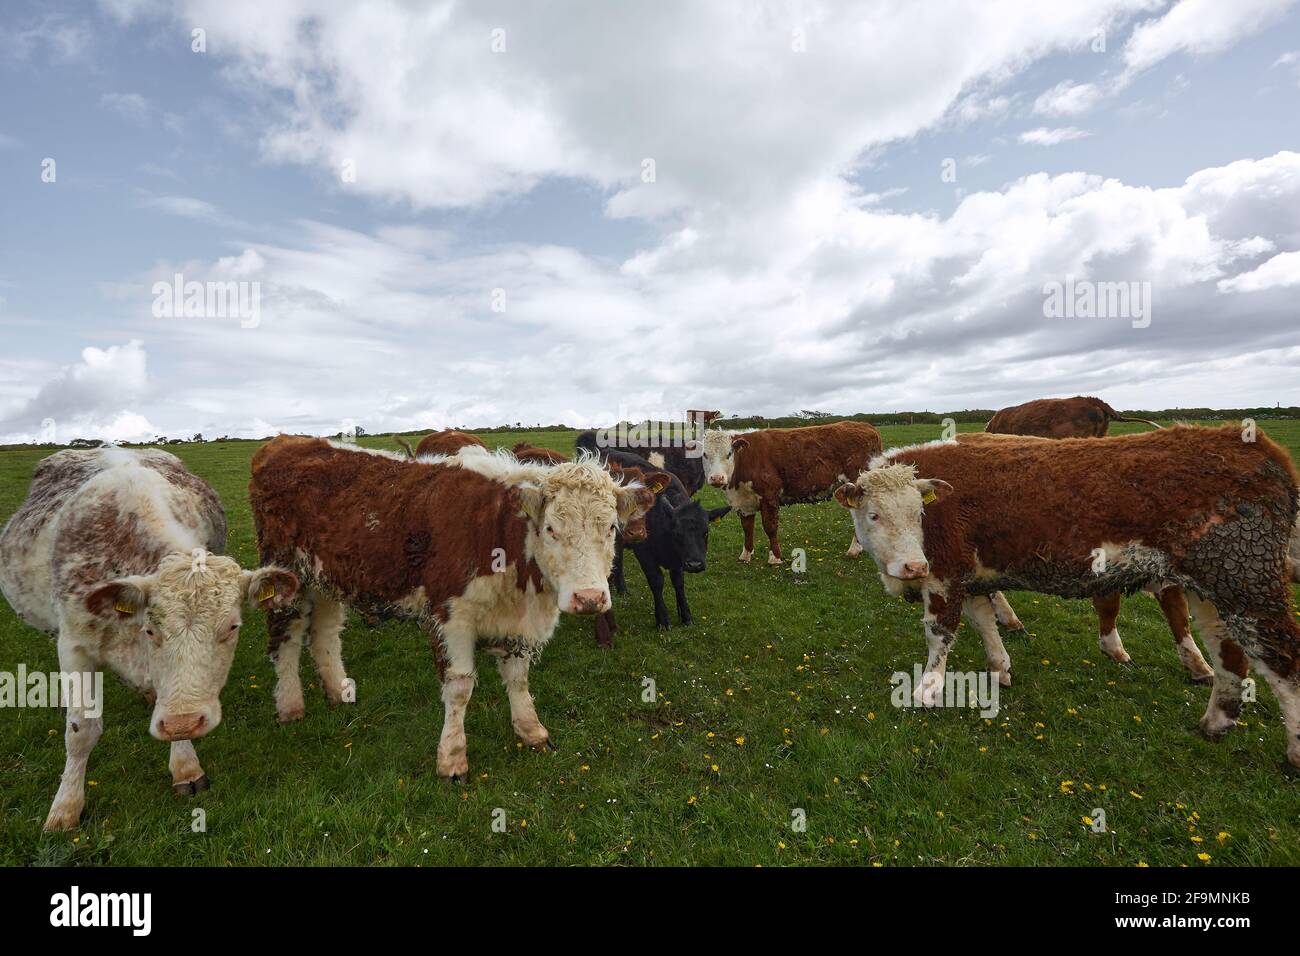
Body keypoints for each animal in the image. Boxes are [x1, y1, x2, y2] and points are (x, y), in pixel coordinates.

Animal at [0, 446, 298, 830]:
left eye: (232, 626)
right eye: (152, 628)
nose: (183, 720)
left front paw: (185, 767)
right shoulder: (74, 645)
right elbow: (80, 731)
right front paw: (65, 808)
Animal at [248, 436, 654, 780]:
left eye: (611, 528)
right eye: (551, 528)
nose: (590, 598)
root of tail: (285, 442)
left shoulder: (518, 622)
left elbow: (519, 677)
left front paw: (531, 730)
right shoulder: (450, 617)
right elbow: (459, 688)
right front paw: (452, 758)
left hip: (327, 576)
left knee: (325, 632)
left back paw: (338, 691)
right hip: (286, 573)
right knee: (285, 637)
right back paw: (290, 706)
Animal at [697, 421, 881, 565]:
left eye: (729, 454)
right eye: (704, 454)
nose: (717, 478)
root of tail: (866, 426)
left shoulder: (770, 495)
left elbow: (770, 527)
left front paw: (775, 558)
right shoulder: (744, 502)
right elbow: (747, 528)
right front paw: (746, 555)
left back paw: (854, 549)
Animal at [835, 425, 1300, 769]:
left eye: (918, 513)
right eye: (873, 515)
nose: (913, 566)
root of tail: (1256, 446)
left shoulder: (944, 575)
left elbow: (939, 635)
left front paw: (926, 691)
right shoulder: (970, 576)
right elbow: (983, 621)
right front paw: (1000, 667)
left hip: (1248, 581)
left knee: (1283, 661)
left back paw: (1293, 751)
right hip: (1214, 586)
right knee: (1228, 654)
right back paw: (1216, 720)